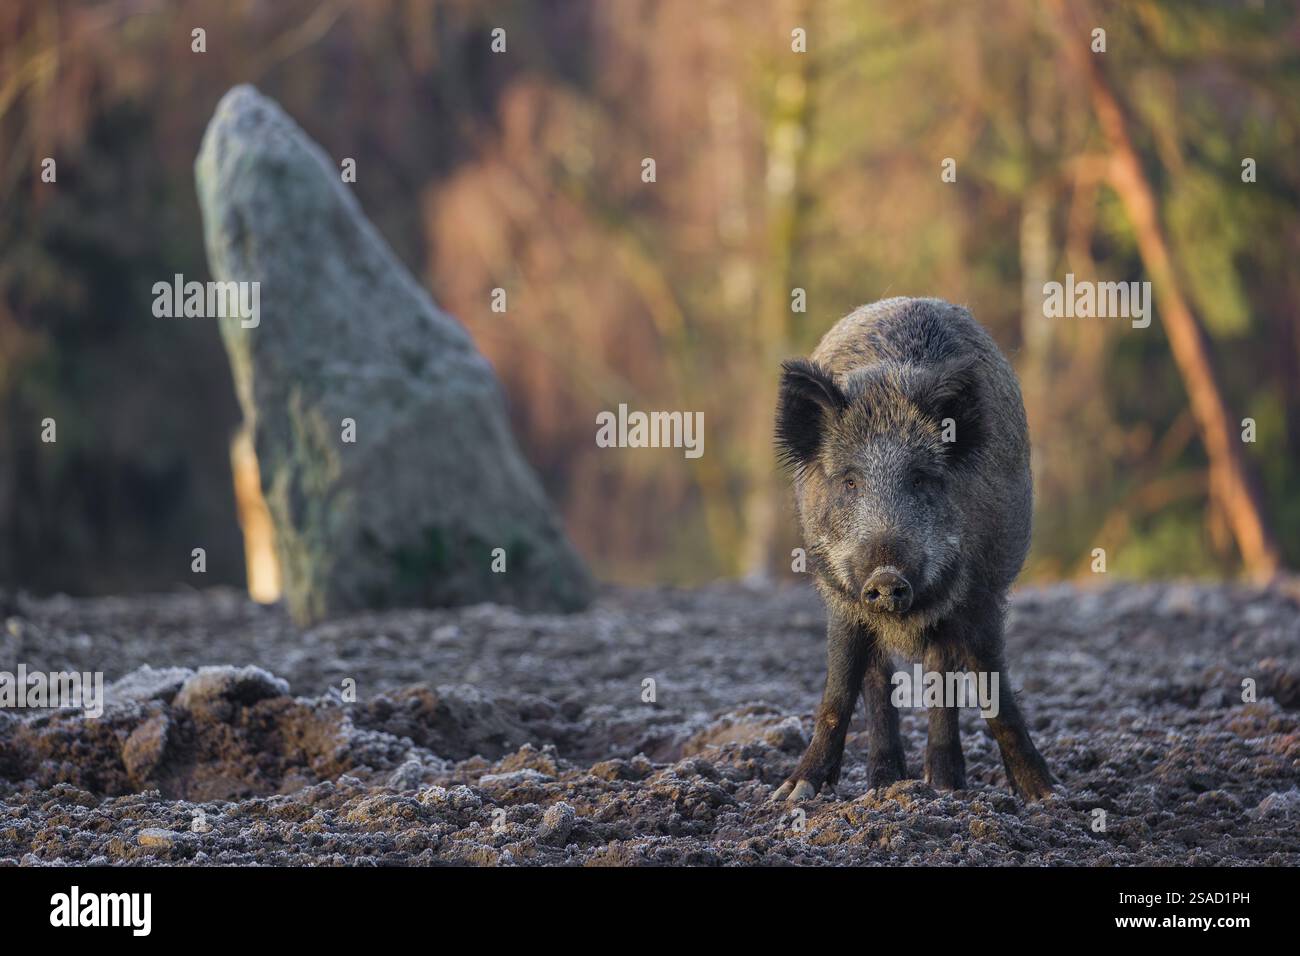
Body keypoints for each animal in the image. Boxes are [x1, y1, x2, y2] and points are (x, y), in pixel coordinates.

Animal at [771, 297, 1055, 803]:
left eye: (921, 478)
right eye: (849, 480)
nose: (886, 577)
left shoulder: (983, 591)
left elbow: (991, 687)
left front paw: (1047, 795)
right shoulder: (842, 596)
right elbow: (839, 688)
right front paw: (791, 794)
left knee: (942, 672)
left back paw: (941, 785)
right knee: (877, 678)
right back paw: (886, 783)